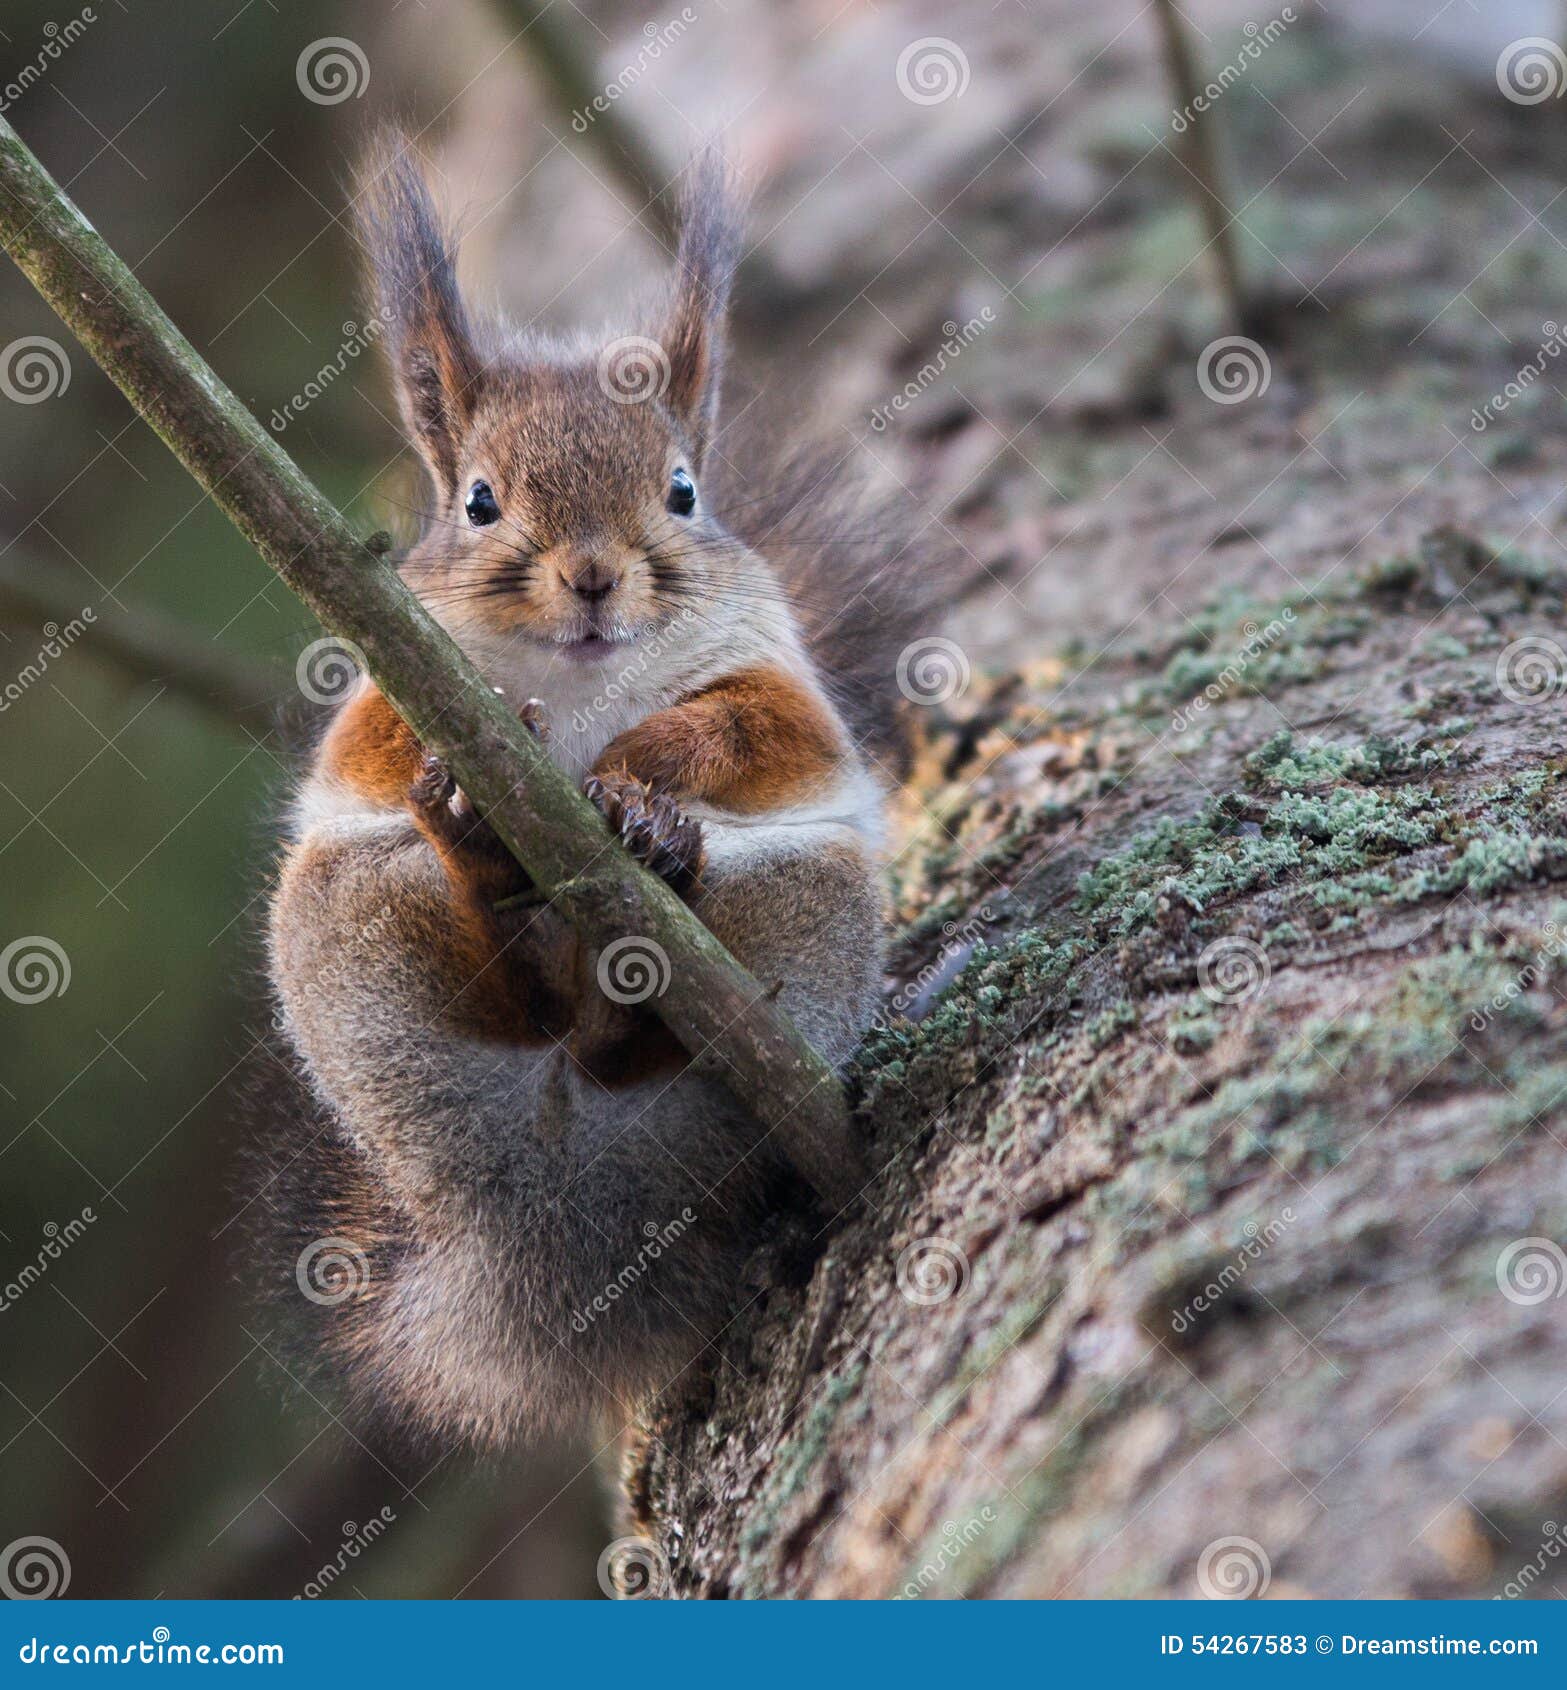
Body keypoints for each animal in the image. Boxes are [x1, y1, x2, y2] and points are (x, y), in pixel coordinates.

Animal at [263, 135, 940, 1448]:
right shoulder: (379, 678)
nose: (589, 576)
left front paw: (636, 774)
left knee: (629, 1036)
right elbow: (371, 748)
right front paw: (468, 763)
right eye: (477, 500)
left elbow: (755, 731)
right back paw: (485, 857)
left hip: (795, 901)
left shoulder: (780, 685)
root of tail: (558, 1178)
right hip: (363, 919)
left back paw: (651, 889)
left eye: (682, 491)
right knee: (506, 996)